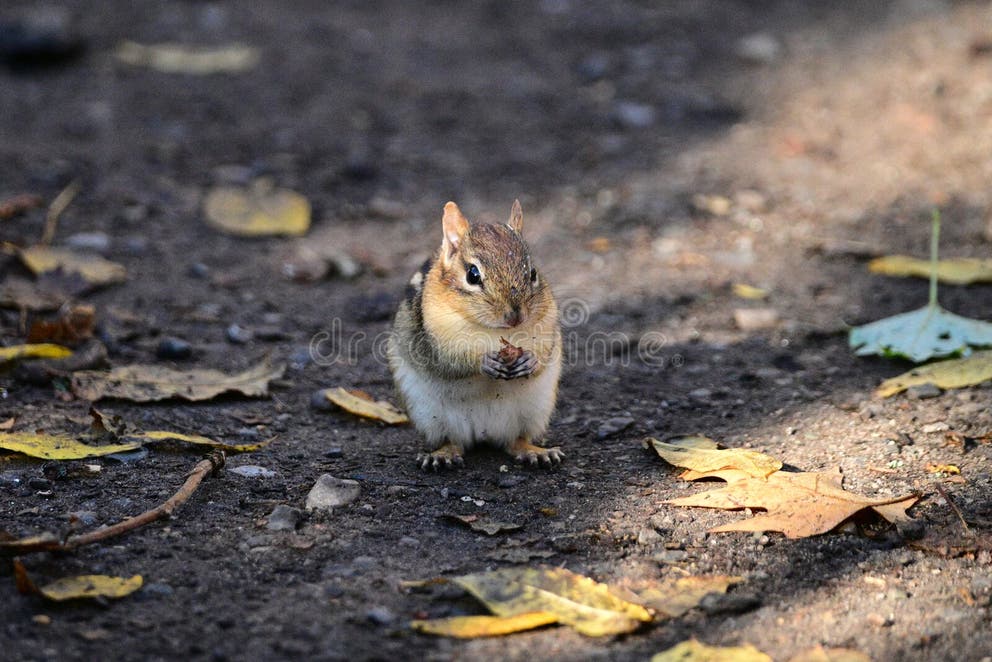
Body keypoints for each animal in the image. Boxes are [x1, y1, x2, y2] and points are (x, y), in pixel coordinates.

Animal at [388, 200, 563, 470]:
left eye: (533, 273)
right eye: (473, 274)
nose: (515, 316)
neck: (493, 332)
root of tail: (483, 432)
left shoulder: (546, 328)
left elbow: (543, 355)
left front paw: (529, 361)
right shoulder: (434, 344)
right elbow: (449, 363)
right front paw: (484, 361)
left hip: (536, 409)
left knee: (515, 441)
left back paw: (535, 451)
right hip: (428, 414)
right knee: (454, 441)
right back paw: (442, 454)